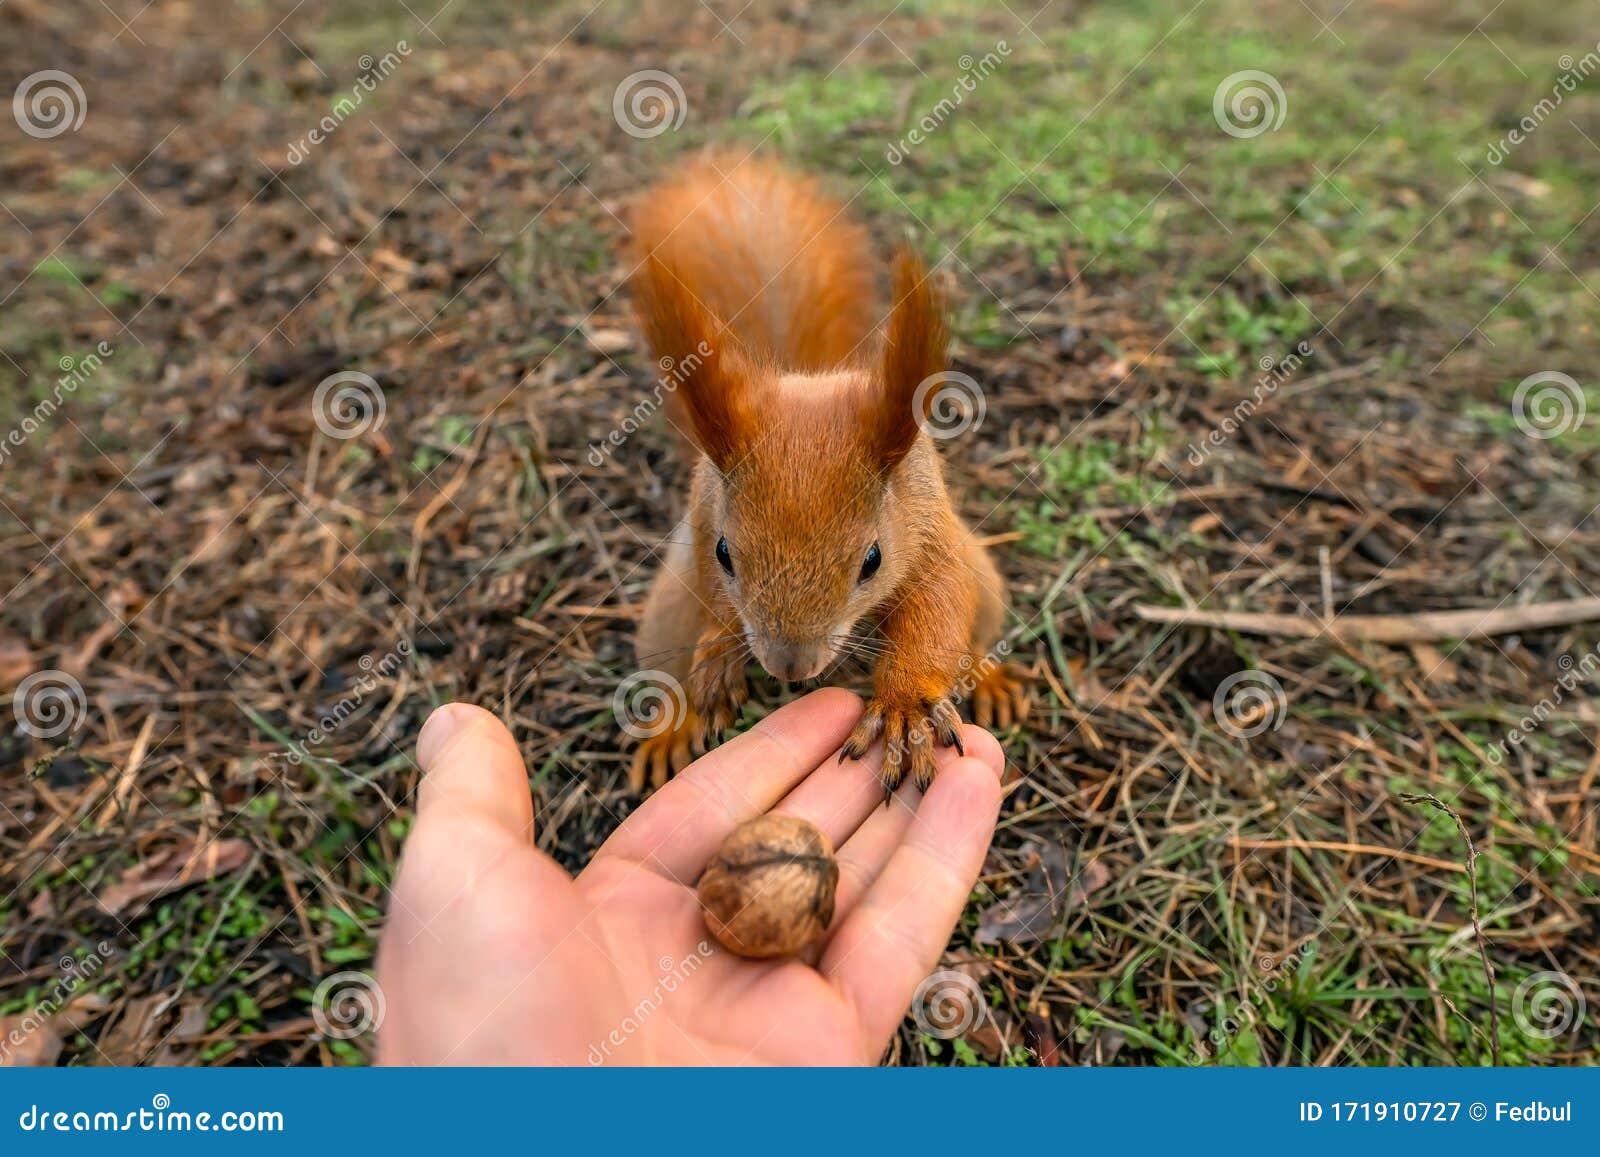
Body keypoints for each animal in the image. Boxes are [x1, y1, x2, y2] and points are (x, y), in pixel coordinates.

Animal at [625, 153, 1029, 797]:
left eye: (872, 560)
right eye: (725, 553)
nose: (790, 667)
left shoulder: (929, 532)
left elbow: (938, 609)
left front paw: (904, 705)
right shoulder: (701, 516)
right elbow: (714, 596)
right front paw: (718, 653)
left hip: (986, 583)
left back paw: (989, 678)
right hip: (666, 614)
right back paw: (672, 726)